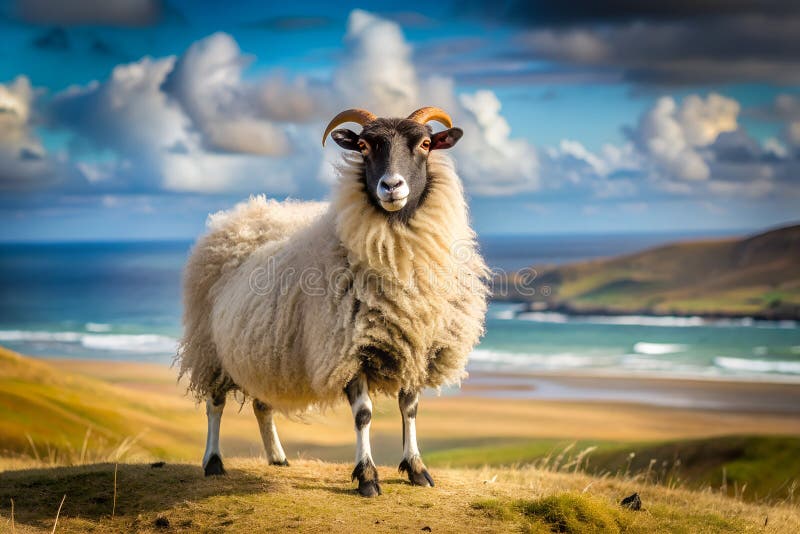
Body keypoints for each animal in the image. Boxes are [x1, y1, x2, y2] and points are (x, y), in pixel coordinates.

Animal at [177, 106, 490, 497]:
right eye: (364, 146)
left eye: (426, 144)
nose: (391, 186)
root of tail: (241, 215)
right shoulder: (348, 350)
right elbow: (364, 415)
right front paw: (367, 476)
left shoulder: (417, 344)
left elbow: (410, 409)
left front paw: (417, 469)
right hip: (210, 349)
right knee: (214, 404)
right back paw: (214, 462)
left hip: (260, 351)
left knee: (263, 405)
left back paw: (277, 457)